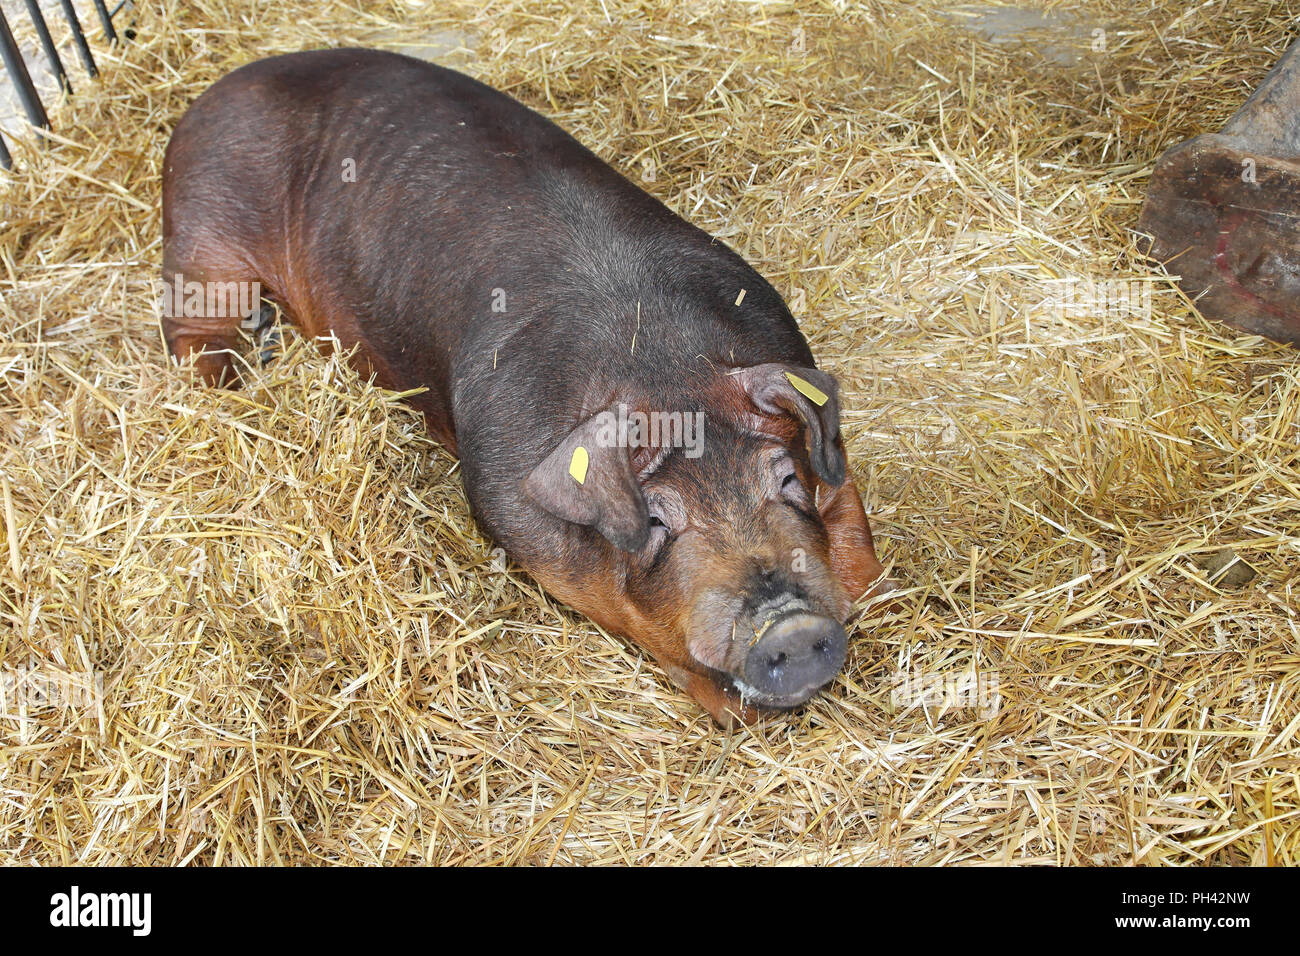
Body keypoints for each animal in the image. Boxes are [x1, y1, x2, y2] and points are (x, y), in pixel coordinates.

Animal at [160, 48, 891, 725]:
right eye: (657, 519)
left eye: (788, 479)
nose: (790, 624)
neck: (663, 366)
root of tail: (216, 93)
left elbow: (857, 545)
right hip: (205, 233)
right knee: (192, 330)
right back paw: (238, 376)